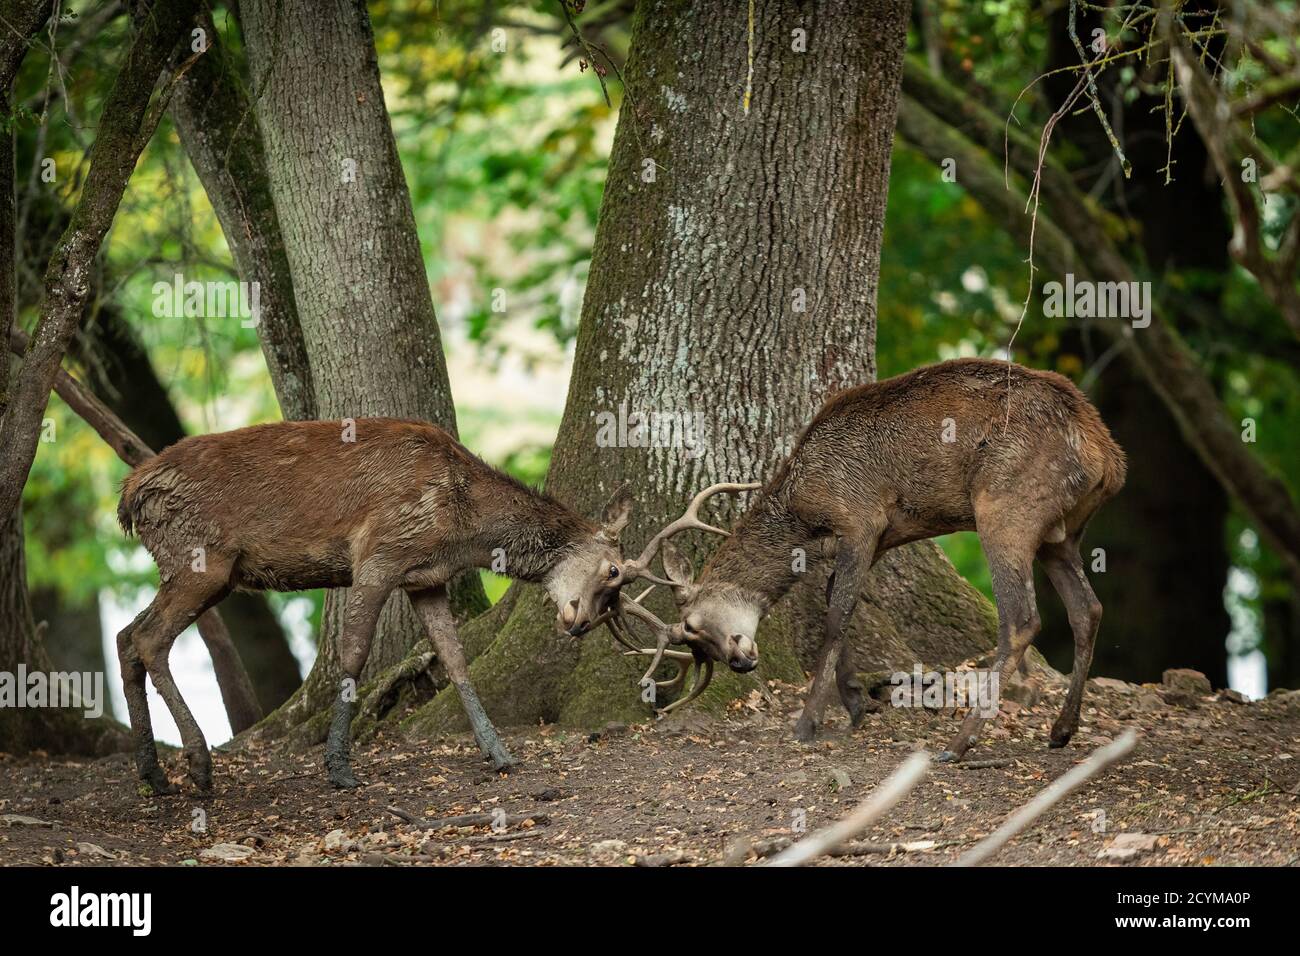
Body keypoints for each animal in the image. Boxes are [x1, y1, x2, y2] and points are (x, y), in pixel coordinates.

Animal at [115, 416, 685, 793]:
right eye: (613, 573)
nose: (579, 623)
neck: (464, 528)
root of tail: (128, 497)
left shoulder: (424, 579)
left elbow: (454, 659)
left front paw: (499, 753)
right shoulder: (380, 552)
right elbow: (353, 654)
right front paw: (339, 767)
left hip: (203, 572)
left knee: (125, 636)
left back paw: (153, 774)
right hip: (201, 559)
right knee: (148, 638)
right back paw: (197, 764)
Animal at [611, 358, 1126, 762]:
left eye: (693, 628)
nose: (740, 663)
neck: (805, 510)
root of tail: (1107, 456)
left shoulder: (859, 517)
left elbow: (837, 613)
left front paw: (808, 723)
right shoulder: (881, 534)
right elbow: (834, 599)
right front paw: (858, 703)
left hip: (1005, 506)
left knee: (1022, 619)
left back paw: (958, 745)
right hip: (1063, 535)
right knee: (1088, 608)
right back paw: (1061, 730)